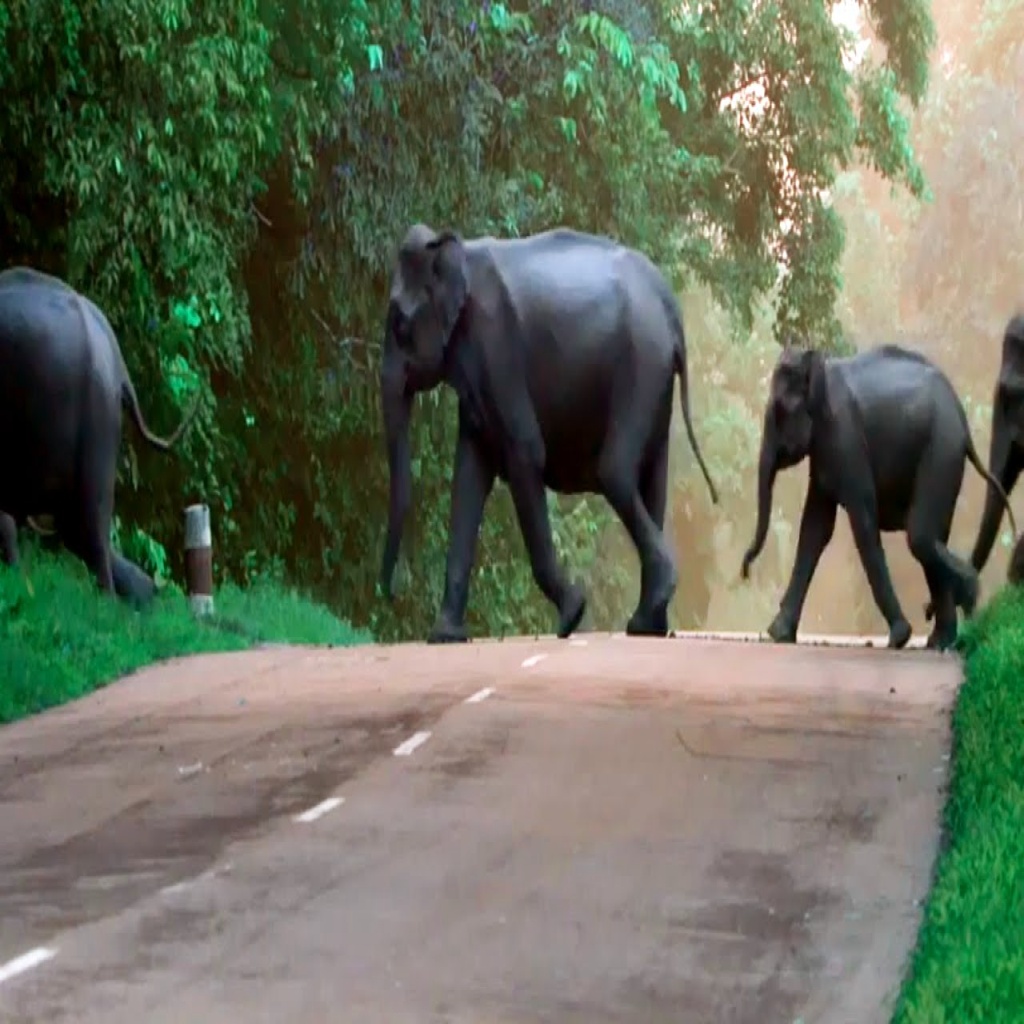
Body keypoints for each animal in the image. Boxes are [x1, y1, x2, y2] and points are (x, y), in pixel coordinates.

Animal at [0, 266, 198, 598]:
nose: (154, 592)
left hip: (93, 414)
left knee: (87, 529)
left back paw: (107, 599)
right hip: (100, 417)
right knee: (86, 525)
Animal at [378, 223, 719, 643]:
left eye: (399, 323)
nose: (390, 593)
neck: (453, 252)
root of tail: (670, 306)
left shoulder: (496, 345)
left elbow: (526, 452)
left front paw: (572, 614)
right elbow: (468, 478)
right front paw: (444, 637)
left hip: (641, 363)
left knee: (616, 473)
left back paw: (649, 609)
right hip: (656, 379)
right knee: (653, 481)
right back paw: (648, 625)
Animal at [740, 343, 1016, 652]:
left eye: (779, 409)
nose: (745, 572)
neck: (820, 366)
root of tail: (961, 416)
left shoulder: (844, 435)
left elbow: (862, 521)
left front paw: (899, 637)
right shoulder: (825, 447)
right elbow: (815, 527)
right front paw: (778, 634)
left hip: (942, 449)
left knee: (920, 535)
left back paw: (968, 596)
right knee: (932, 538)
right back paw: (940, 640)